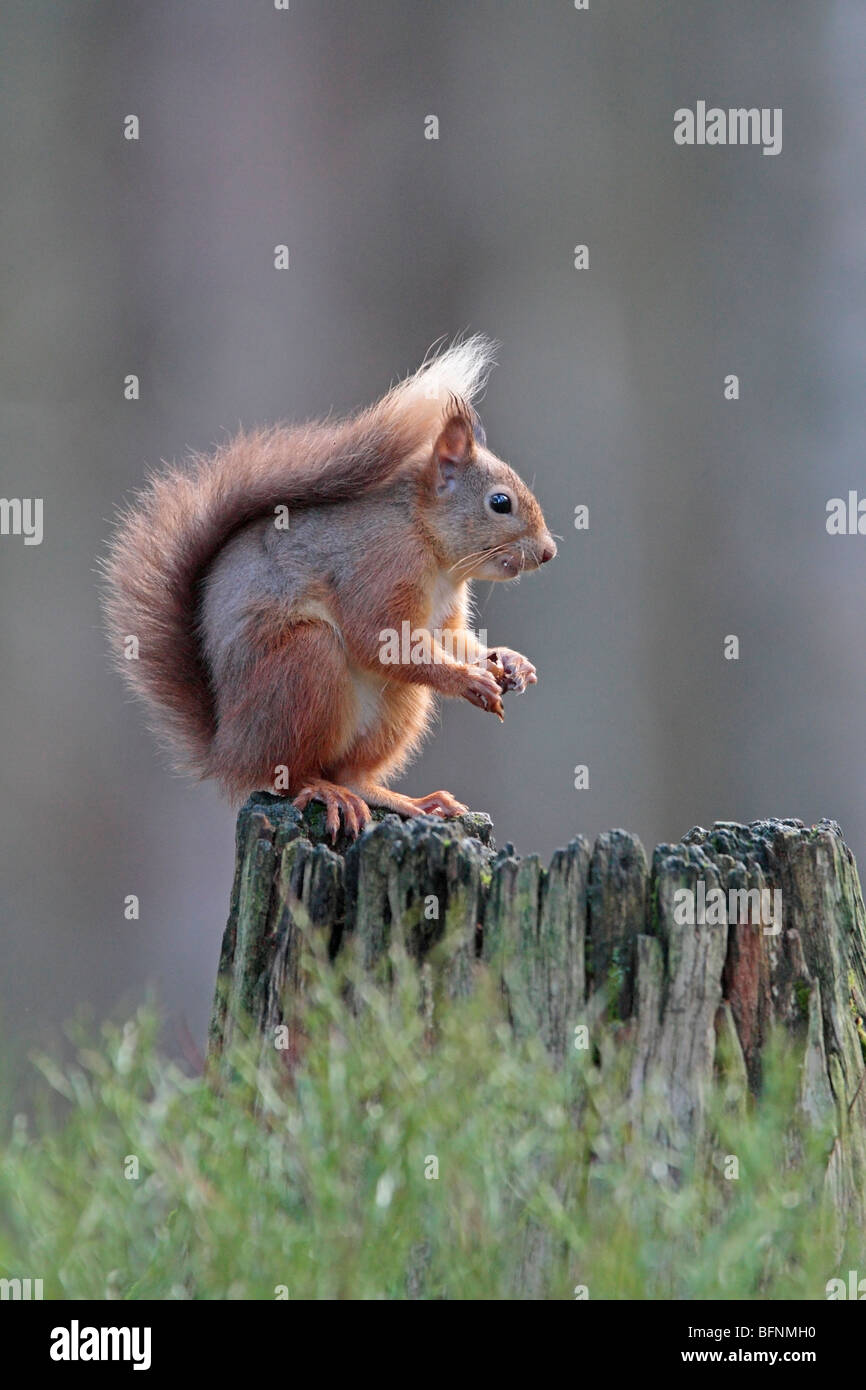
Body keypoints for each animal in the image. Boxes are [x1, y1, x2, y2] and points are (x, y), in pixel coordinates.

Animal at [103, 336, 556, 839]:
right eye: (500, 503)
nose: (549, 552)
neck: (430, 545)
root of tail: (227, 751)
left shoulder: (442, 616)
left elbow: (453, 640)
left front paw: (510, 663)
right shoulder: (380, 567)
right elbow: (378, 639)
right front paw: (467, 680)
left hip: (398, 703)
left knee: (352, 771)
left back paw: (403, 799)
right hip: (305, 667)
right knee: (290, 774)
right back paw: (326, 791)